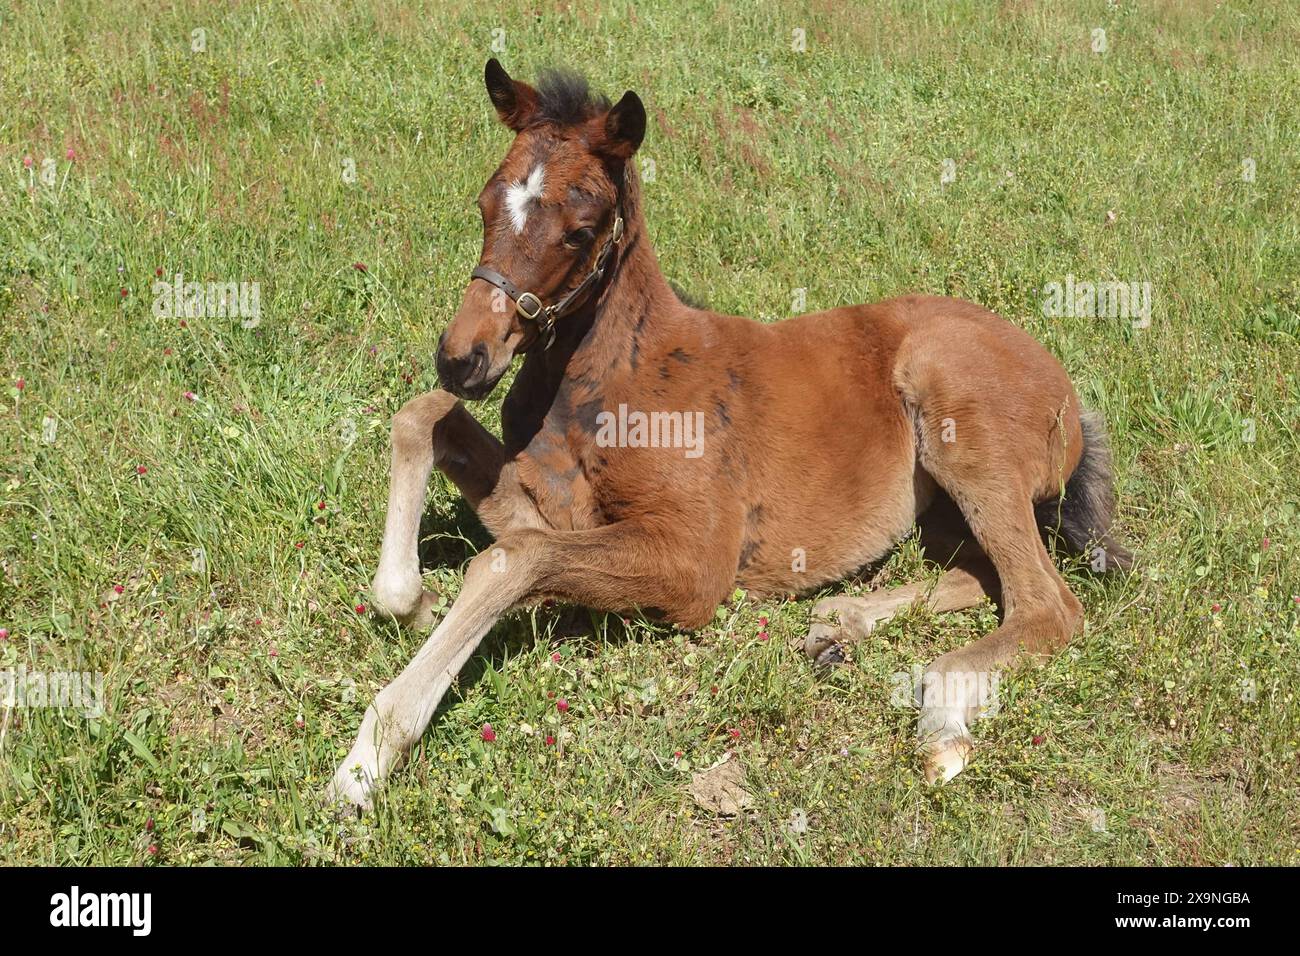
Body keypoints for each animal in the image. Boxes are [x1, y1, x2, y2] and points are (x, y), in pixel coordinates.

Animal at [327, 60, 1131, 810]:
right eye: (486, 202)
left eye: (581, 231)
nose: (463, 357)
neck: (608, 383)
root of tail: (1068, 395)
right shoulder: (544, 503)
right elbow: (423, 419)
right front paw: (408, 600)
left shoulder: (696, 564)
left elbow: (506, 561)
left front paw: (368, 759)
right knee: (978, 573)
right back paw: (836, 625)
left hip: (958, 418)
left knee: (1046, 604)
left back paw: (940, 722)